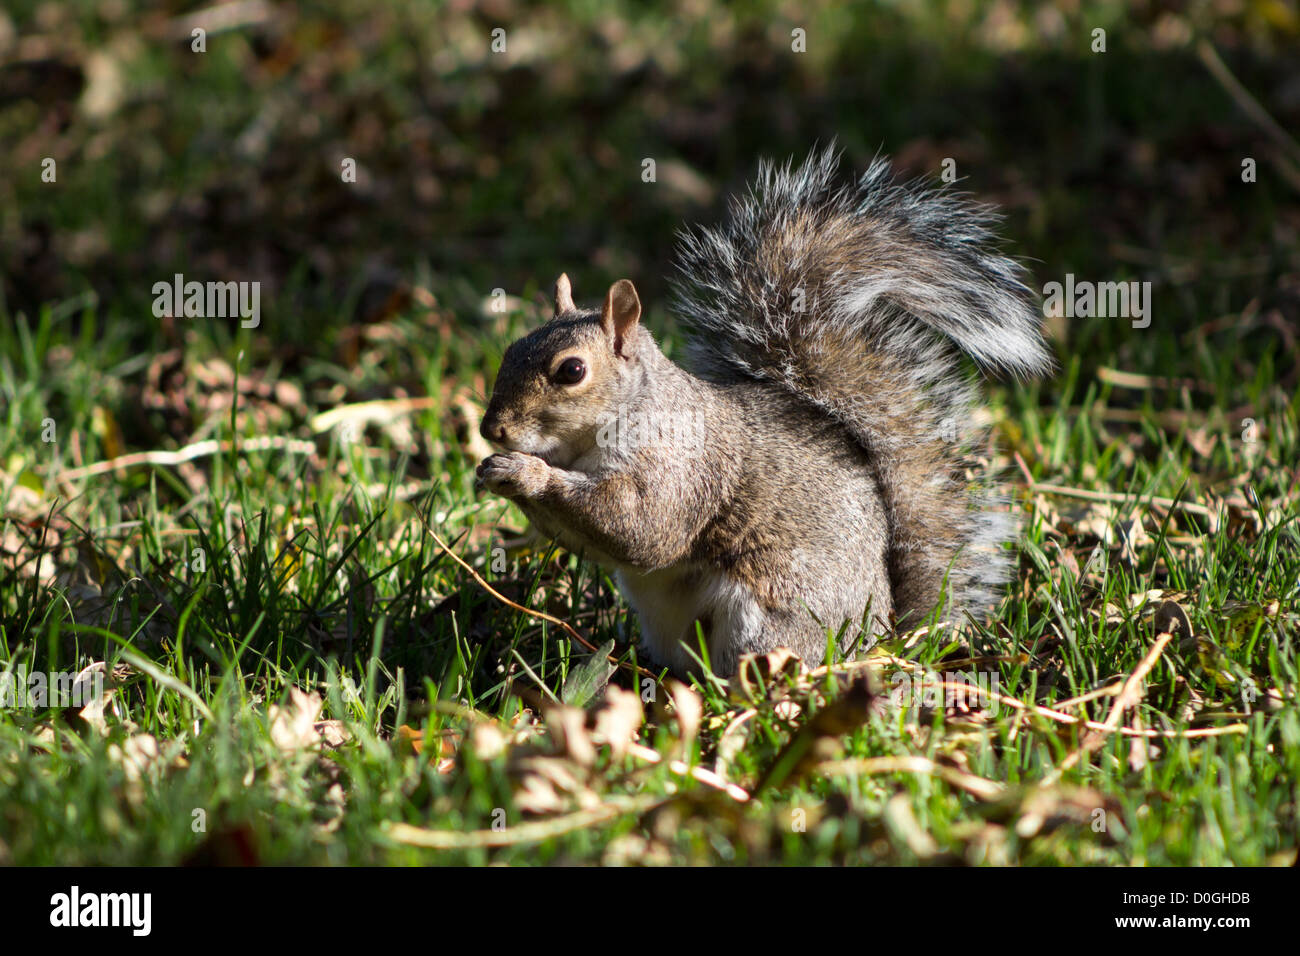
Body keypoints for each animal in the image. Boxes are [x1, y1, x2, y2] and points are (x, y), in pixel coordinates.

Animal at [476, 145, 1053, 677]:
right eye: (509, 351)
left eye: (571, 371)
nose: (491, 429)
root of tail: (884, 635)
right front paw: (493, 471)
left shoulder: (680, 467)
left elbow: (641, 529)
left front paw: (525, 473)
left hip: (769, 619)